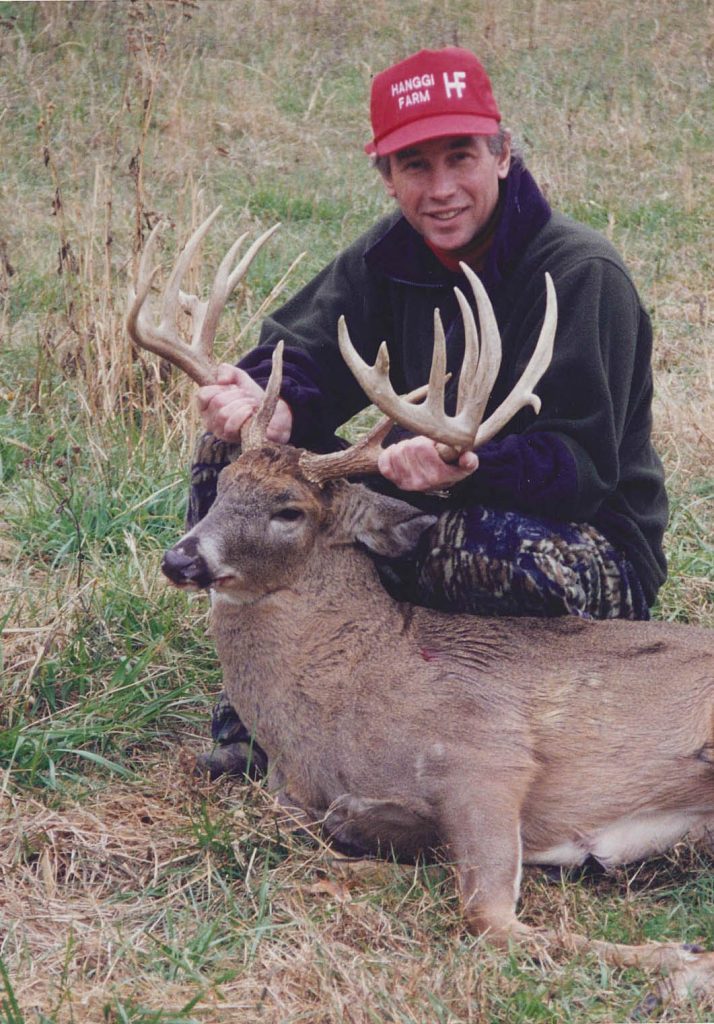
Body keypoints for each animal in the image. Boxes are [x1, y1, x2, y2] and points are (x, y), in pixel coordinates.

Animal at [127, 208, 714, 1010]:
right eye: (224, 488)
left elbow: (486, 917)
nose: (181, 560)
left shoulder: (486, 752)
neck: (341, 697)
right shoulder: (307, 802)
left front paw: (683, 957)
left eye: (289, 510)